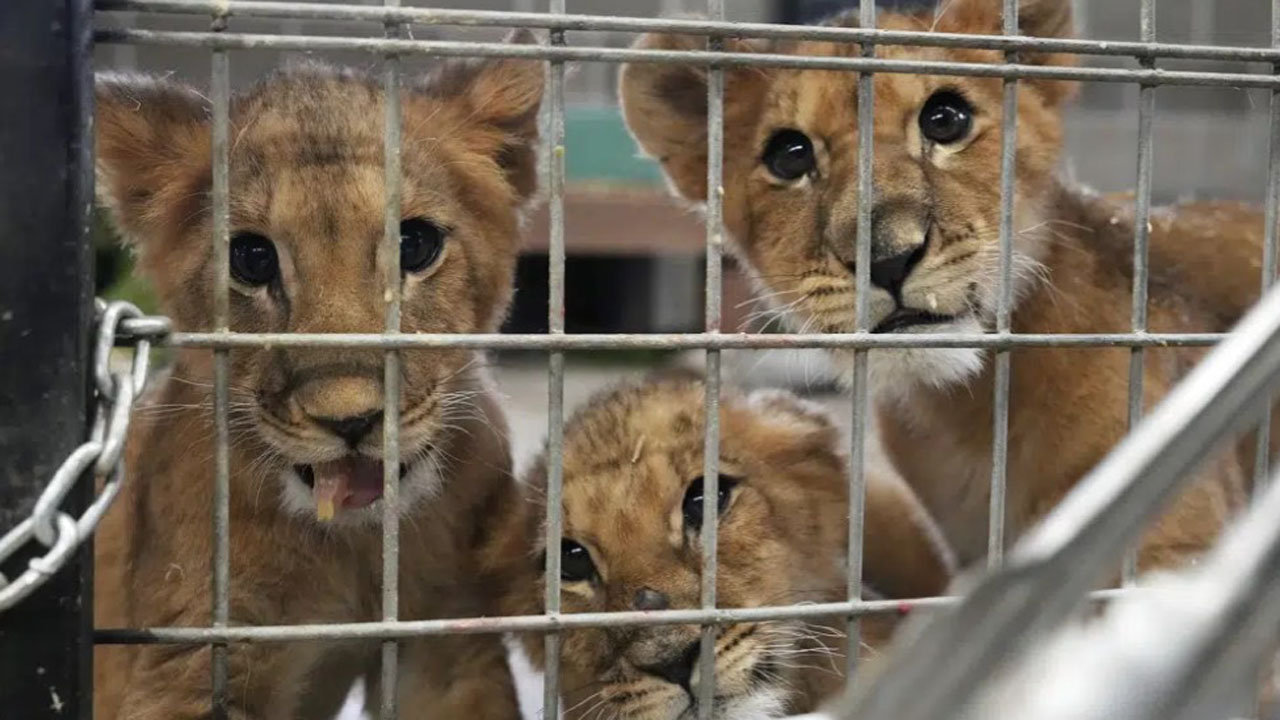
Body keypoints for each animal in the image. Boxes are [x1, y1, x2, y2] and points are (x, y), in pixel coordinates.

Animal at [92, 31, 542, 719]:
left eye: (415, 245)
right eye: (252, 259)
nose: (351, 420)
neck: (352, 547)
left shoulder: (445, 638)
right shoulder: (187, 663)